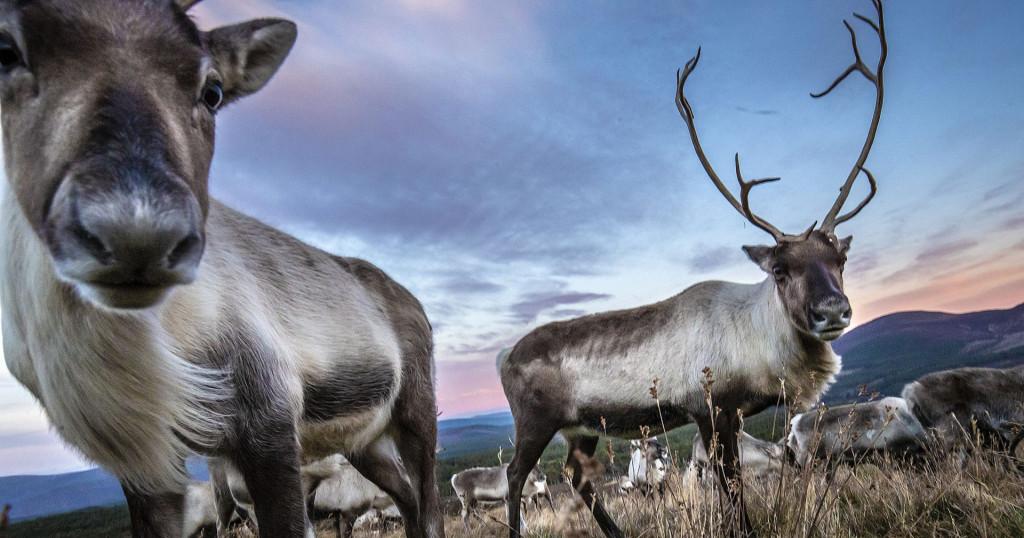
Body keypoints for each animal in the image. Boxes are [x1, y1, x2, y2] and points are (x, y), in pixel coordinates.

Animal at [0, 1, 444, 537]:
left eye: (212, 90)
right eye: (6, 50)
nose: (136, 237)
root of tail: (410, 299)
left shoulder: (268, 423)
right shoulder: (144, 459)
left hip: (415, 412)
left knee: (428, 501)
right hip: (364, 441)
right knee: (407, 499)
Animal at [498, 1, 886, 536]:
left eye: (840, 259)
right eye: (780, 268)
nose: (832, 310)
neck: (757, 336)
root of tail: (503, 356)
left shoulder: (735, 415)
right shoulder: (712, 409)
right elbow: (729, 483)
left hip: (581, 429)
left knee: (579, 478)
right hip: (536, 423)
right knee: (516, 474)